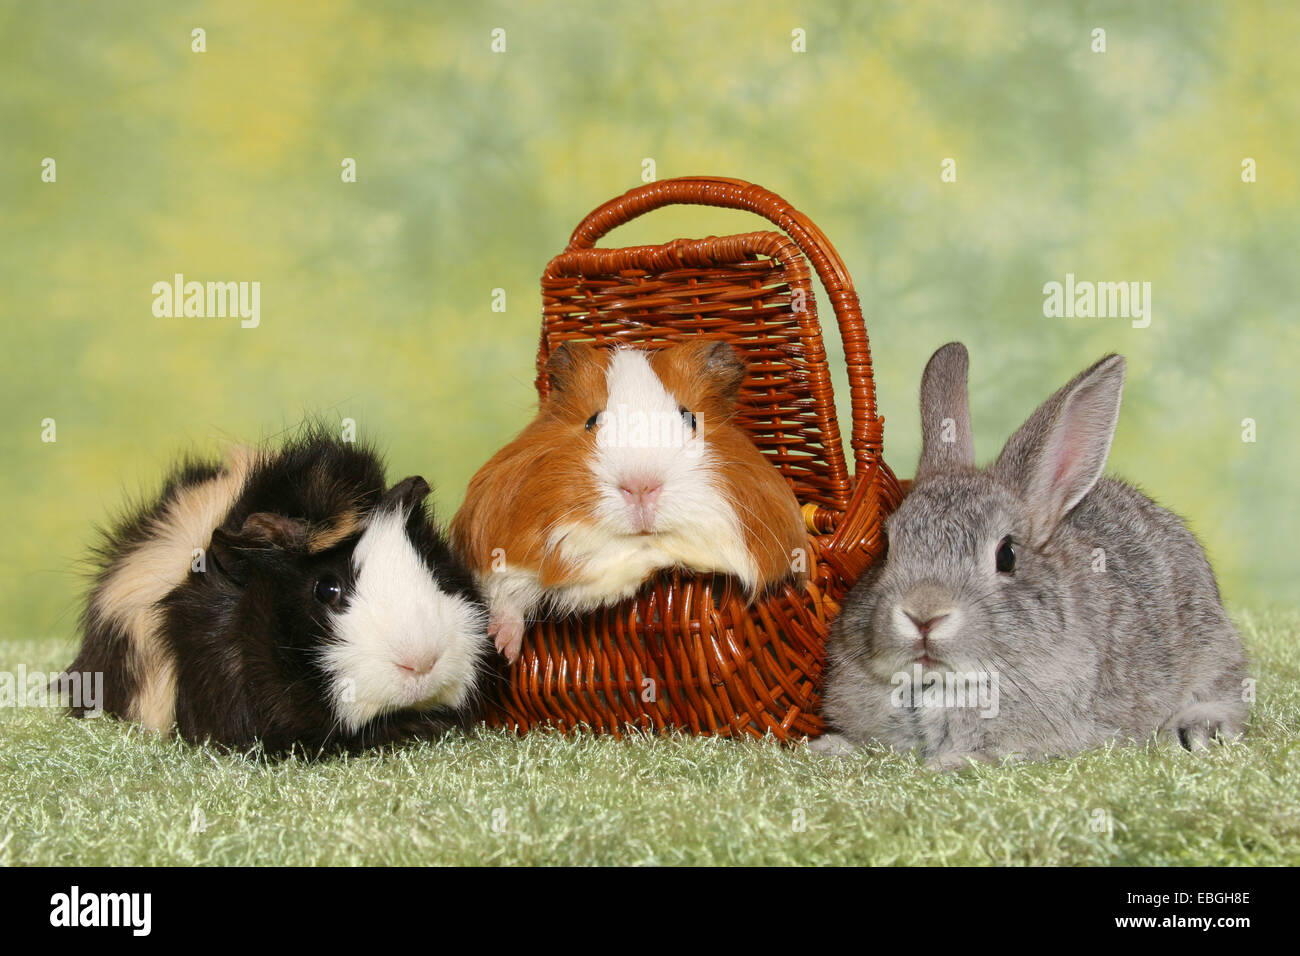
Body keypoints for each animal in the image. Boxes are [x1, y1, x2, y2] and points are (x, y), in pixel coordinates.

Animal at [813, 342, 1249, 768]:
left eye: (1006, 556)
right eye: (886, 547)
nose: (923, 614)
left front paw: (951, 763)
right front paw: (830, 747)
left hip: (1212, 649)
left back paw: (1198, 730)